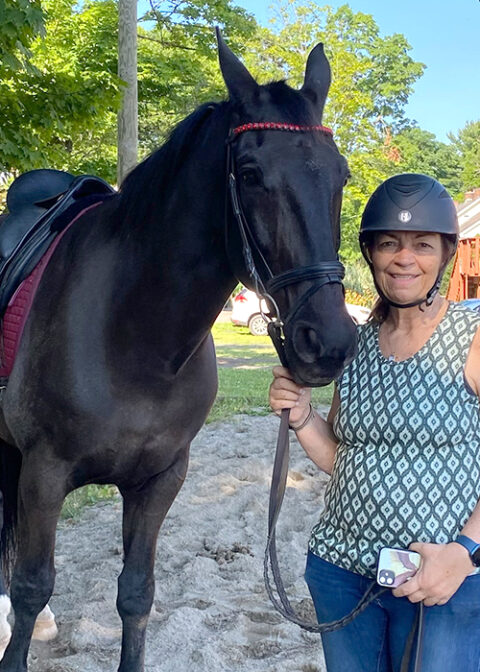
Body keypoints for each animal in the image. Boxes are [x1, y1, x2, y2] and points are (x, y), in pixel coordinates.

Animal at [0, 32, 356, 671]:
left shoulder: (162, 478)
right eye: (250, 172)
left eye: (340, 175)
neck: (134, 337)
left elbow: (136, 593)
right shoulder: (44, 473)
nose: (329, 342)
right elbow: (33, 585)